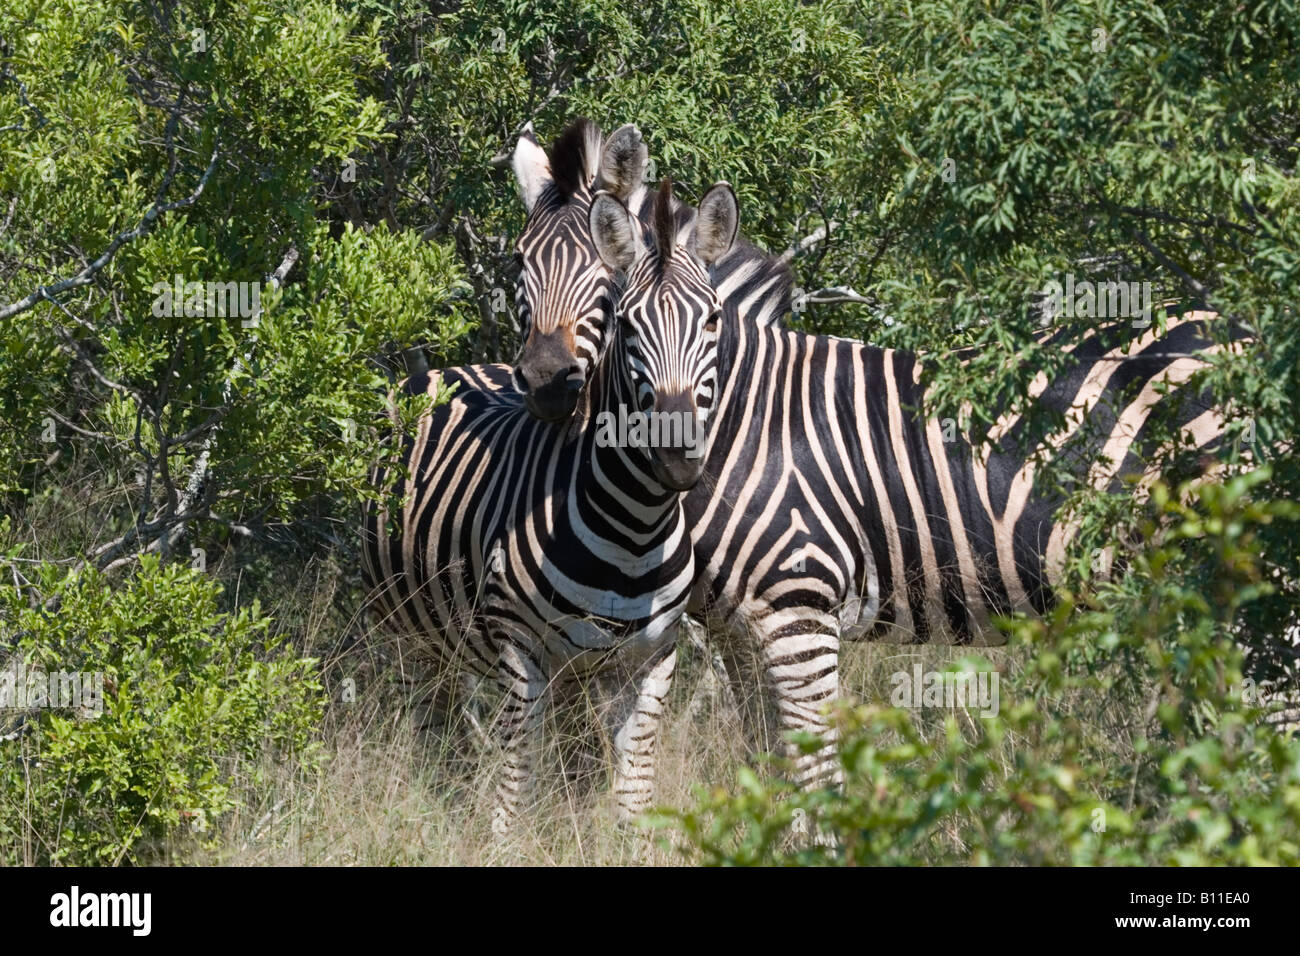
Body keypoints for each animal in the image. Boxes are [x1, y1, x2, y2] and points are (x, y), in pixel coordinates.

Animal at [362, 178, 741, 831]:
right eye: (627, 323)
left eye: (714, 319)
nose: (676, 457)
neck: (634, 530)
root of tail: (450, 367)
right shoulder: (521, 651)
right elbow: (515, 785)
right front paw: (501, 840)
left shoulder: (653, 659)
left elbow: (633, 792)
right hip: (405, 625)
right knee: (431, 709)